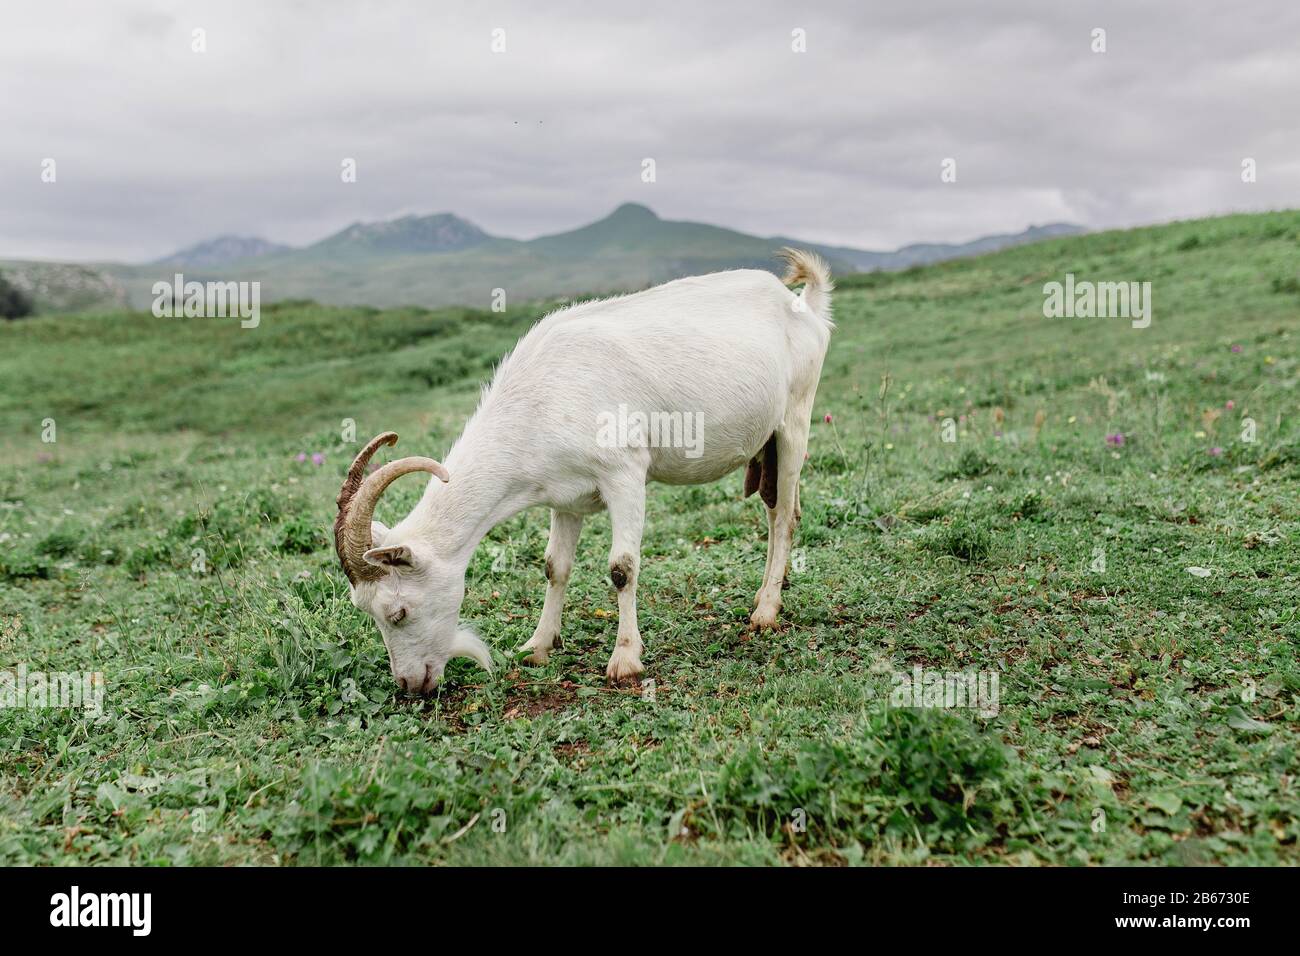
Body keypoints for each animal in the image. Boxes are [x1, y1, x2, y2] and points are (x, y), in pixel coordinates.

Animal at [333, 249, 833, 694]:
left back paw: (766, 612)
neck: (539, 401)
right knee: (775, 507)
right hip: (766, 446)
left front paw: (625, 661)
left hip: (795, 418)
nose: (410, 686)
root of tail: (804, 305)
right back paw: (769, 593)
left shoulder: (625, 474)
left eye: (397, 613)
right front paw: (537, 646)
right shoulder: (565, 496)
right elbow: (555, 566)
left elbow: (622, 568)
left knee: (785, 516)